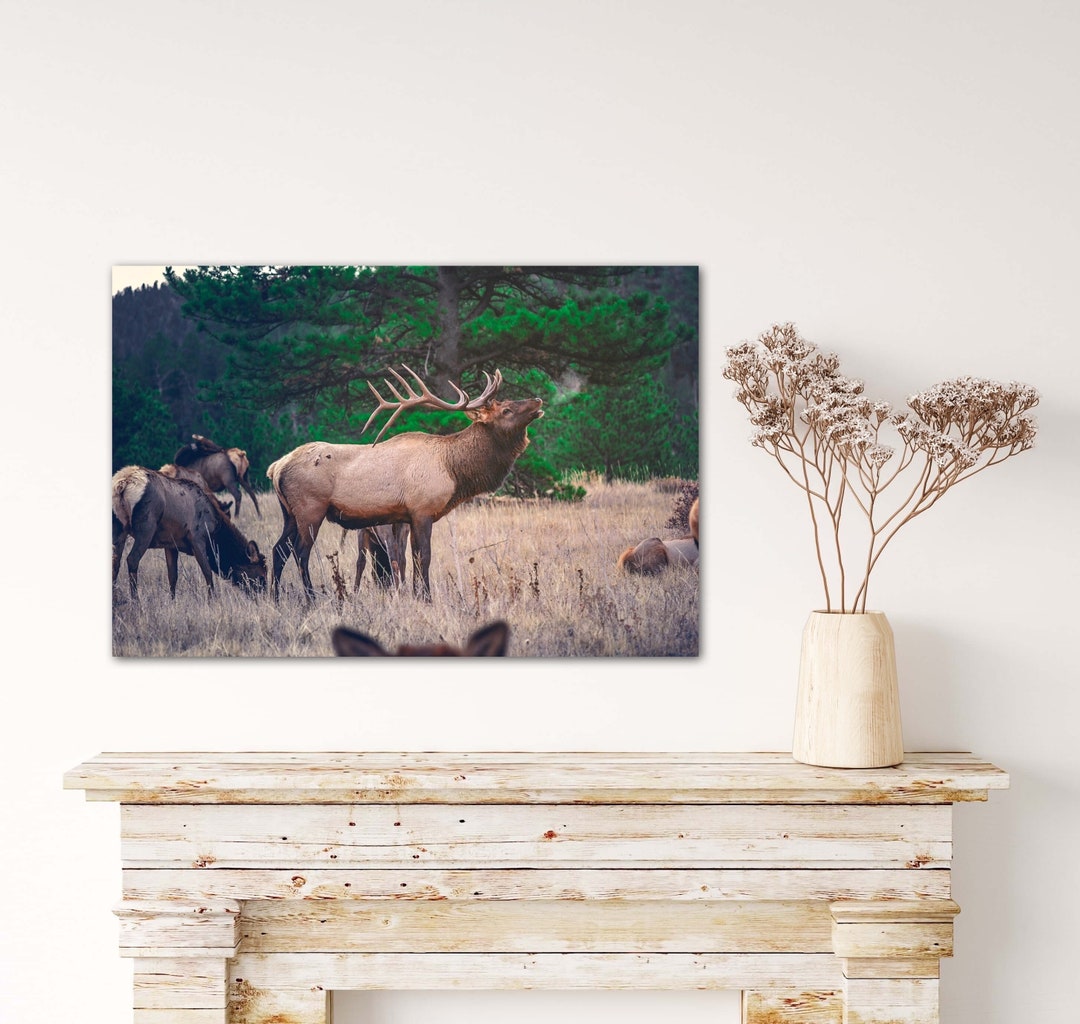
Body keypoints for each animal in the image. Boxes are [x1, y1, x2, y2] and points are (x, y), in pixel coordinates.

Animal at [112, 466, 268, 598]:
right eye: (261, 575)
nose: (265, 597)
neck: (215, 531)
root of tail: (123, 484)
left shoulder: (170, 544)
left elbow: (173, 576)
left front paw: (173, 601)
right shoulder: (197, 539)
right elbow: (208, 573)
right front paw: (212, 601)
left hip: (118, 528)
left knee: (115, 562)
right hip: (146, 527)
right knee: (132, 559)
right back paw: (135, 601)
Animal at [267, 365, 543, 601]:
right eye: (506, 410)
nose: (538, 401)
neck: (453, 470)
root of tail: (276, 468)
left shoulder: (406, 516)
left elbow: (411, 559)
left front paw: (415, 595)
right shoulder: (422, 510)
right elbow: (425, 557)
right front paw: (427, 598)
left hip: (289, 513)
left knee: (278, 550)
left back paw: (276, 597)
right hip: (310, 509)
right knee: (300, 553)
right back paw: (311, 598)